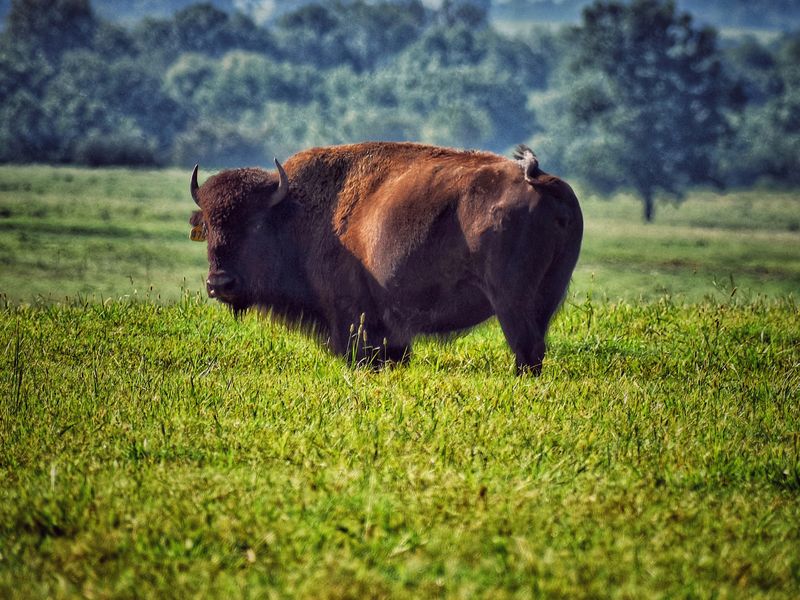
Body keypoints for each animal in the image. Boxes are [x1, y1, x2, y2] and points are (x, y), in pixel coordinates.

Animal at [189, 142, 582, 374]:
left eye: (255, 224)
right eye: (207, 225)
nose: (219, 283)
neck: (295, 211)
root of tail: (537, 179)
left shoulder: (354, 321)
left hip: (510, 301)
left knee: (525, 348)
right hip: (547, 297)